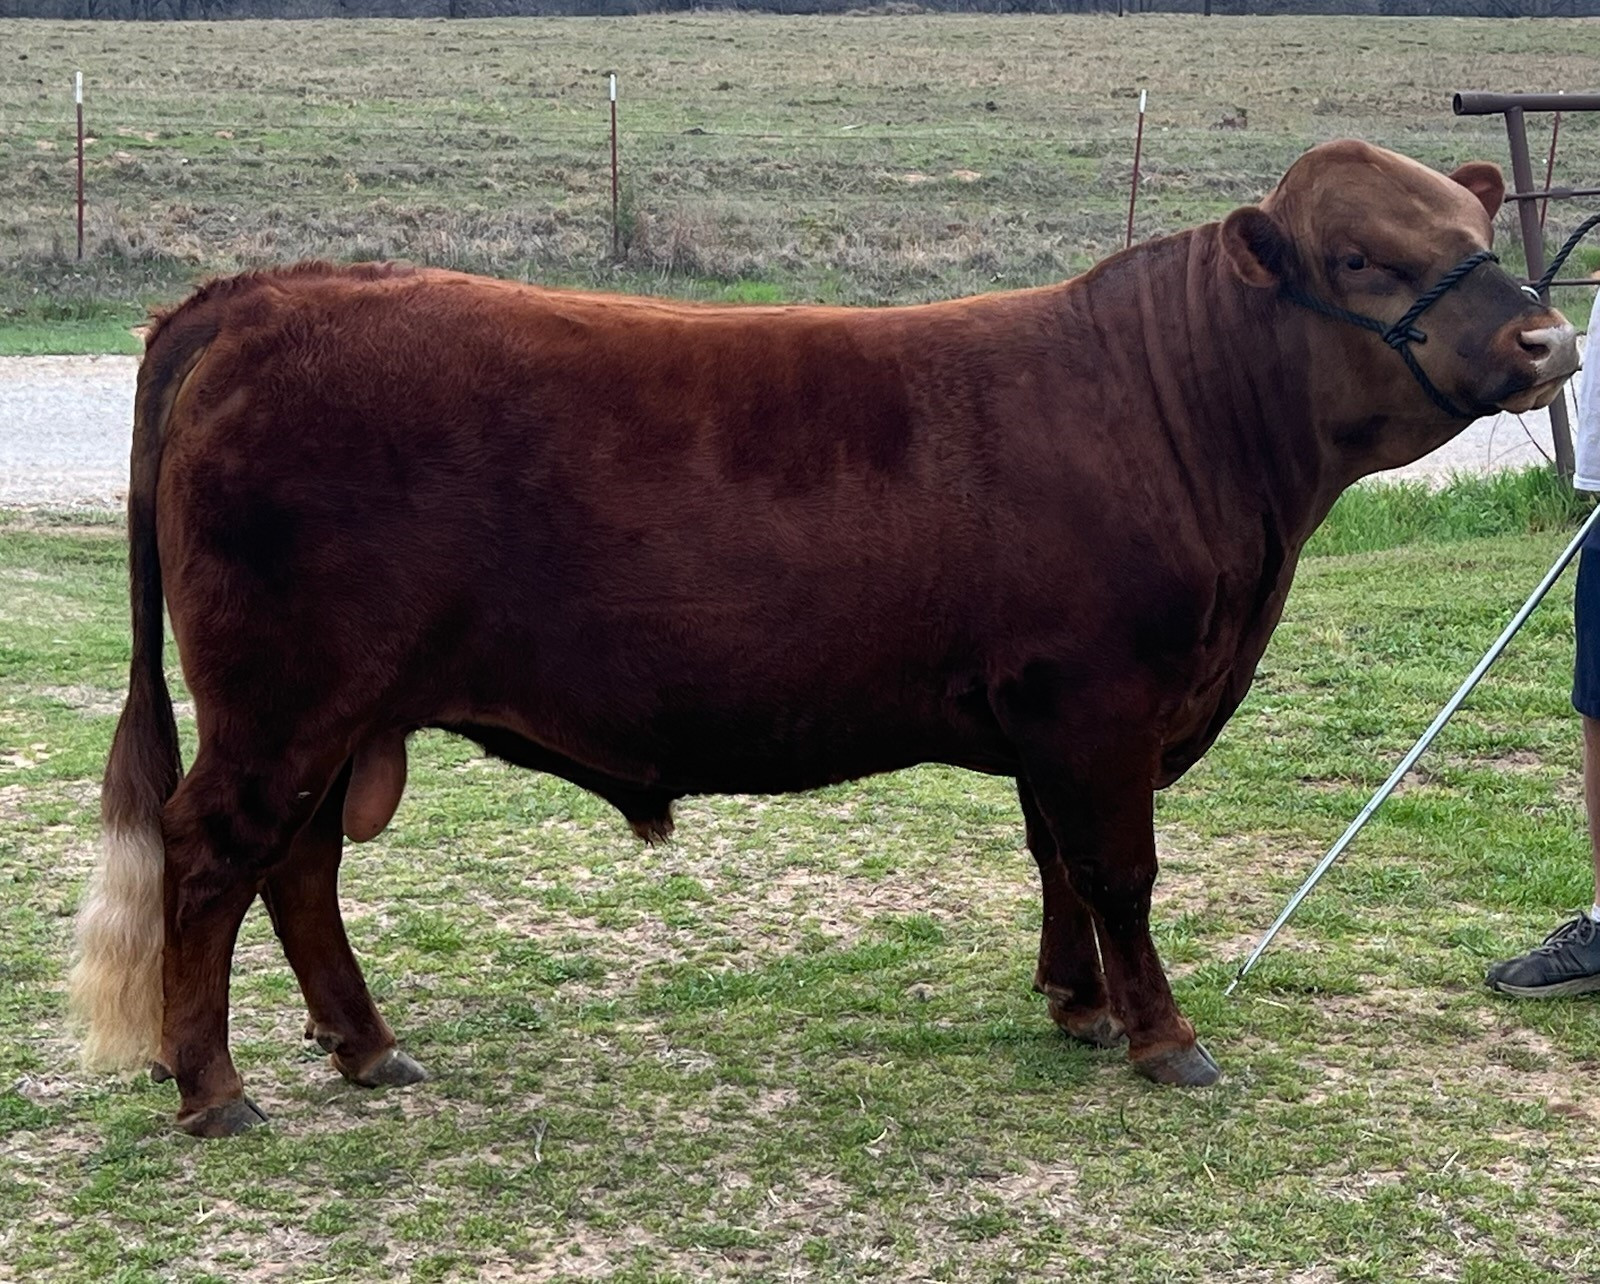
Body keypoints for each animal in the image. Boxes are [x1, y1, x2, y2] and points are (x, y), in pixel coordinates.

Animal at [69, 140, 1578, 1137]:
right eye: (1363, 258)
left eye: (1472, 224)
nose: (1550, 338)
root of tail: (261, 295)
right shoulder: (1102, 705)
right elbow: (1122, 872)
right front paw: (1163, 1038)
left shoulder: (1050, 720)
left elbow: (1060, 864)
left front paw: (1077, 1007)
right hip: (282, 701)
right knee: (213, 855)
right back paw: (213, 1089)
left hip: (333, 711)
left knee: (300, 866)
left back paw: (366, 1048)